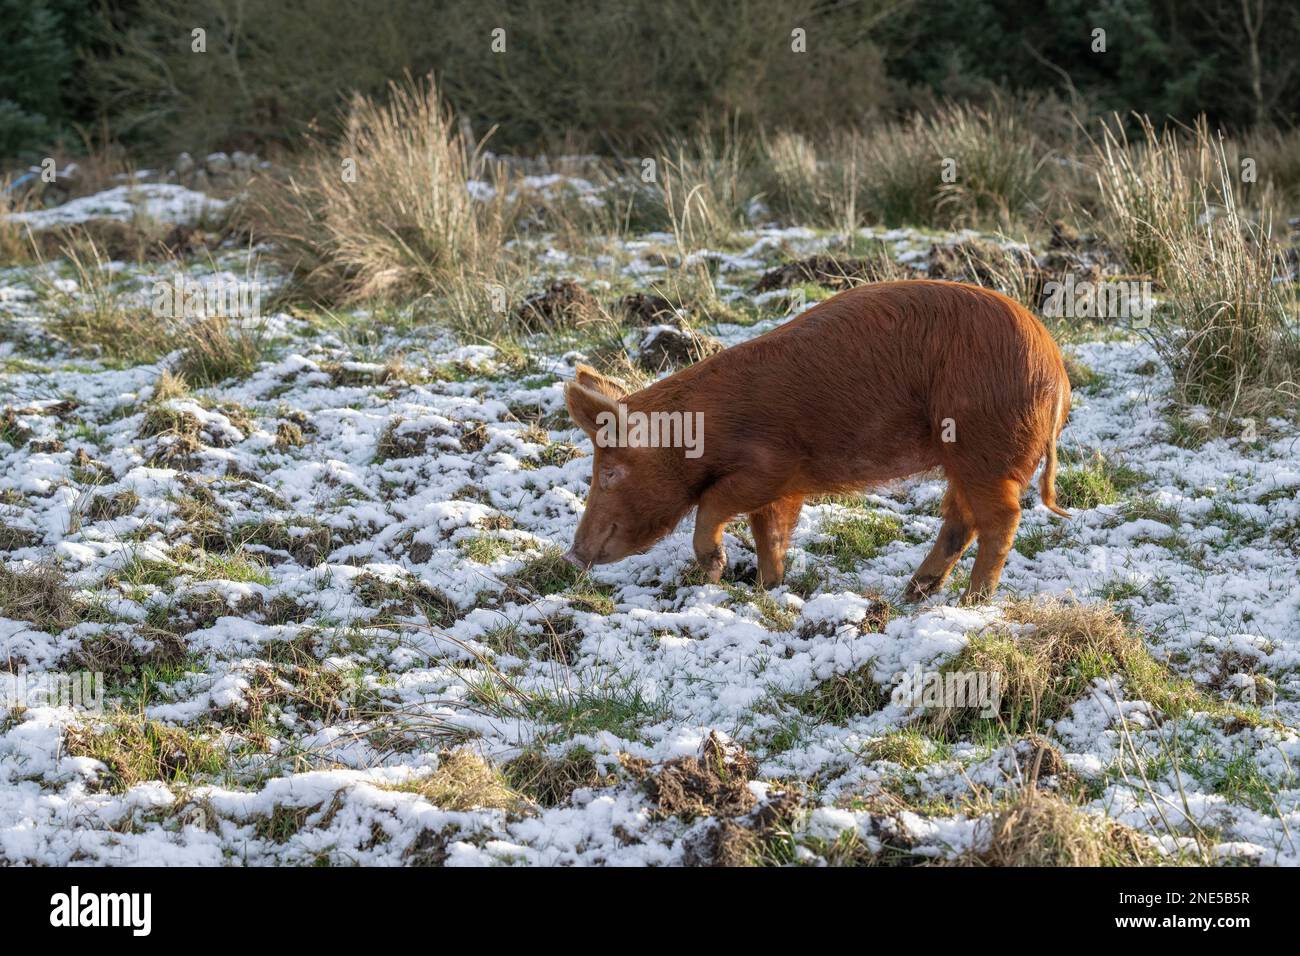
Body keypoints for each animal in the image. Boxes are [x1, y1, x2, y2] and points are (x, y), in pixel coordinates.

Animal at [562, 279, 1071, 603]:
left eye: (609, 473)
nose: (573, 554)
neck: (701, 432)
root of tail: (1055, 368)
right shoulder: (779, 489)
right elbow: (769, 532)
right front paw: (768, 588)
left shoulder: (770, 467)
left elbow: (712, 505)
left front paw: (715, 569)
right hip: (967, 457)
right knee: (962, 521)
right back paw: (913, 593)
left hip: (984, 446)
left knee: (1001, 518)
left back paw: (972, 601)